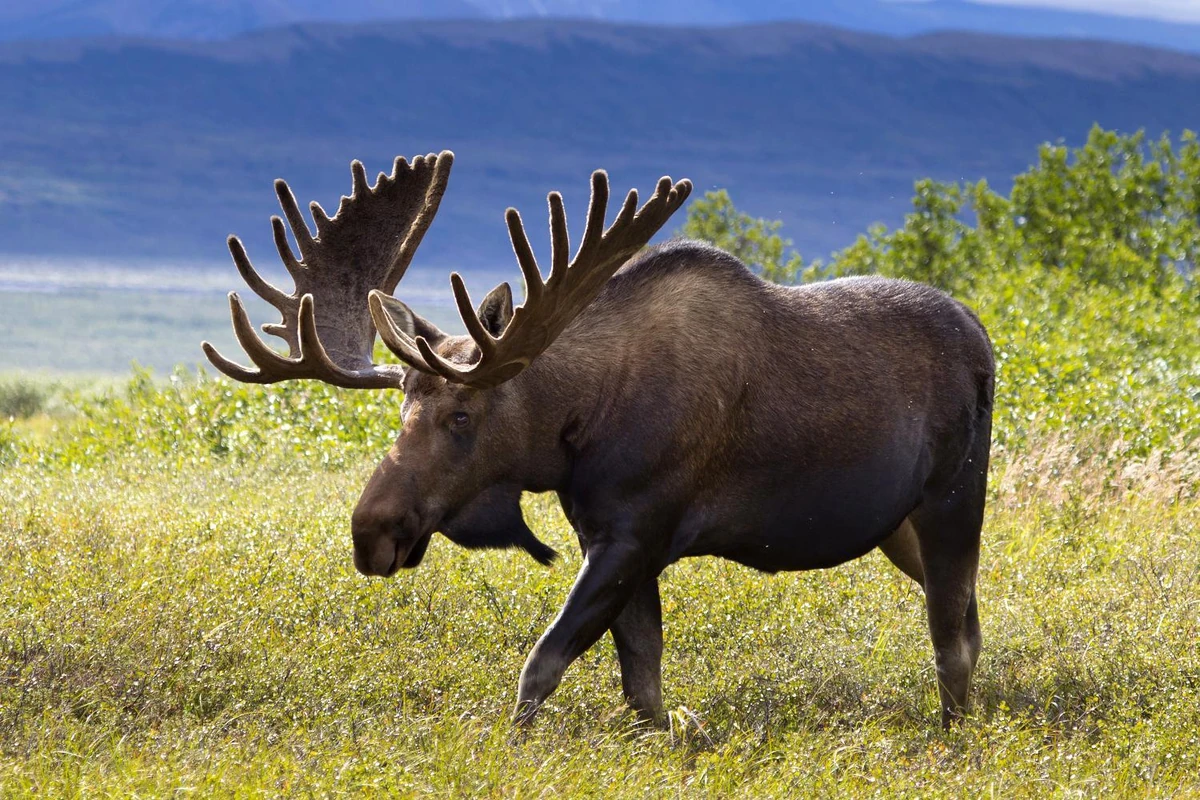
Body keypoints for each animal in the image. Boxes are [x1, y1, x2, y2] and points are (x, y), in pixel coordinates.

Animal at [202, 150, 994, 729]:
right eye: (400, 409)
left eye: (461, 417)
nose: (371, 530)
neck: (574, 428)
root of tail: (986, 340)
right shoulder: (606, 538)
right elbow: (642, 686)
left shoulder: (635, 534)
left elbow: (543, 666)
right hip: (898, 529)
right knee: (970, 621)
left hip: (954, 500)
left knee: (950, 640)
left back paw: (953, 736)